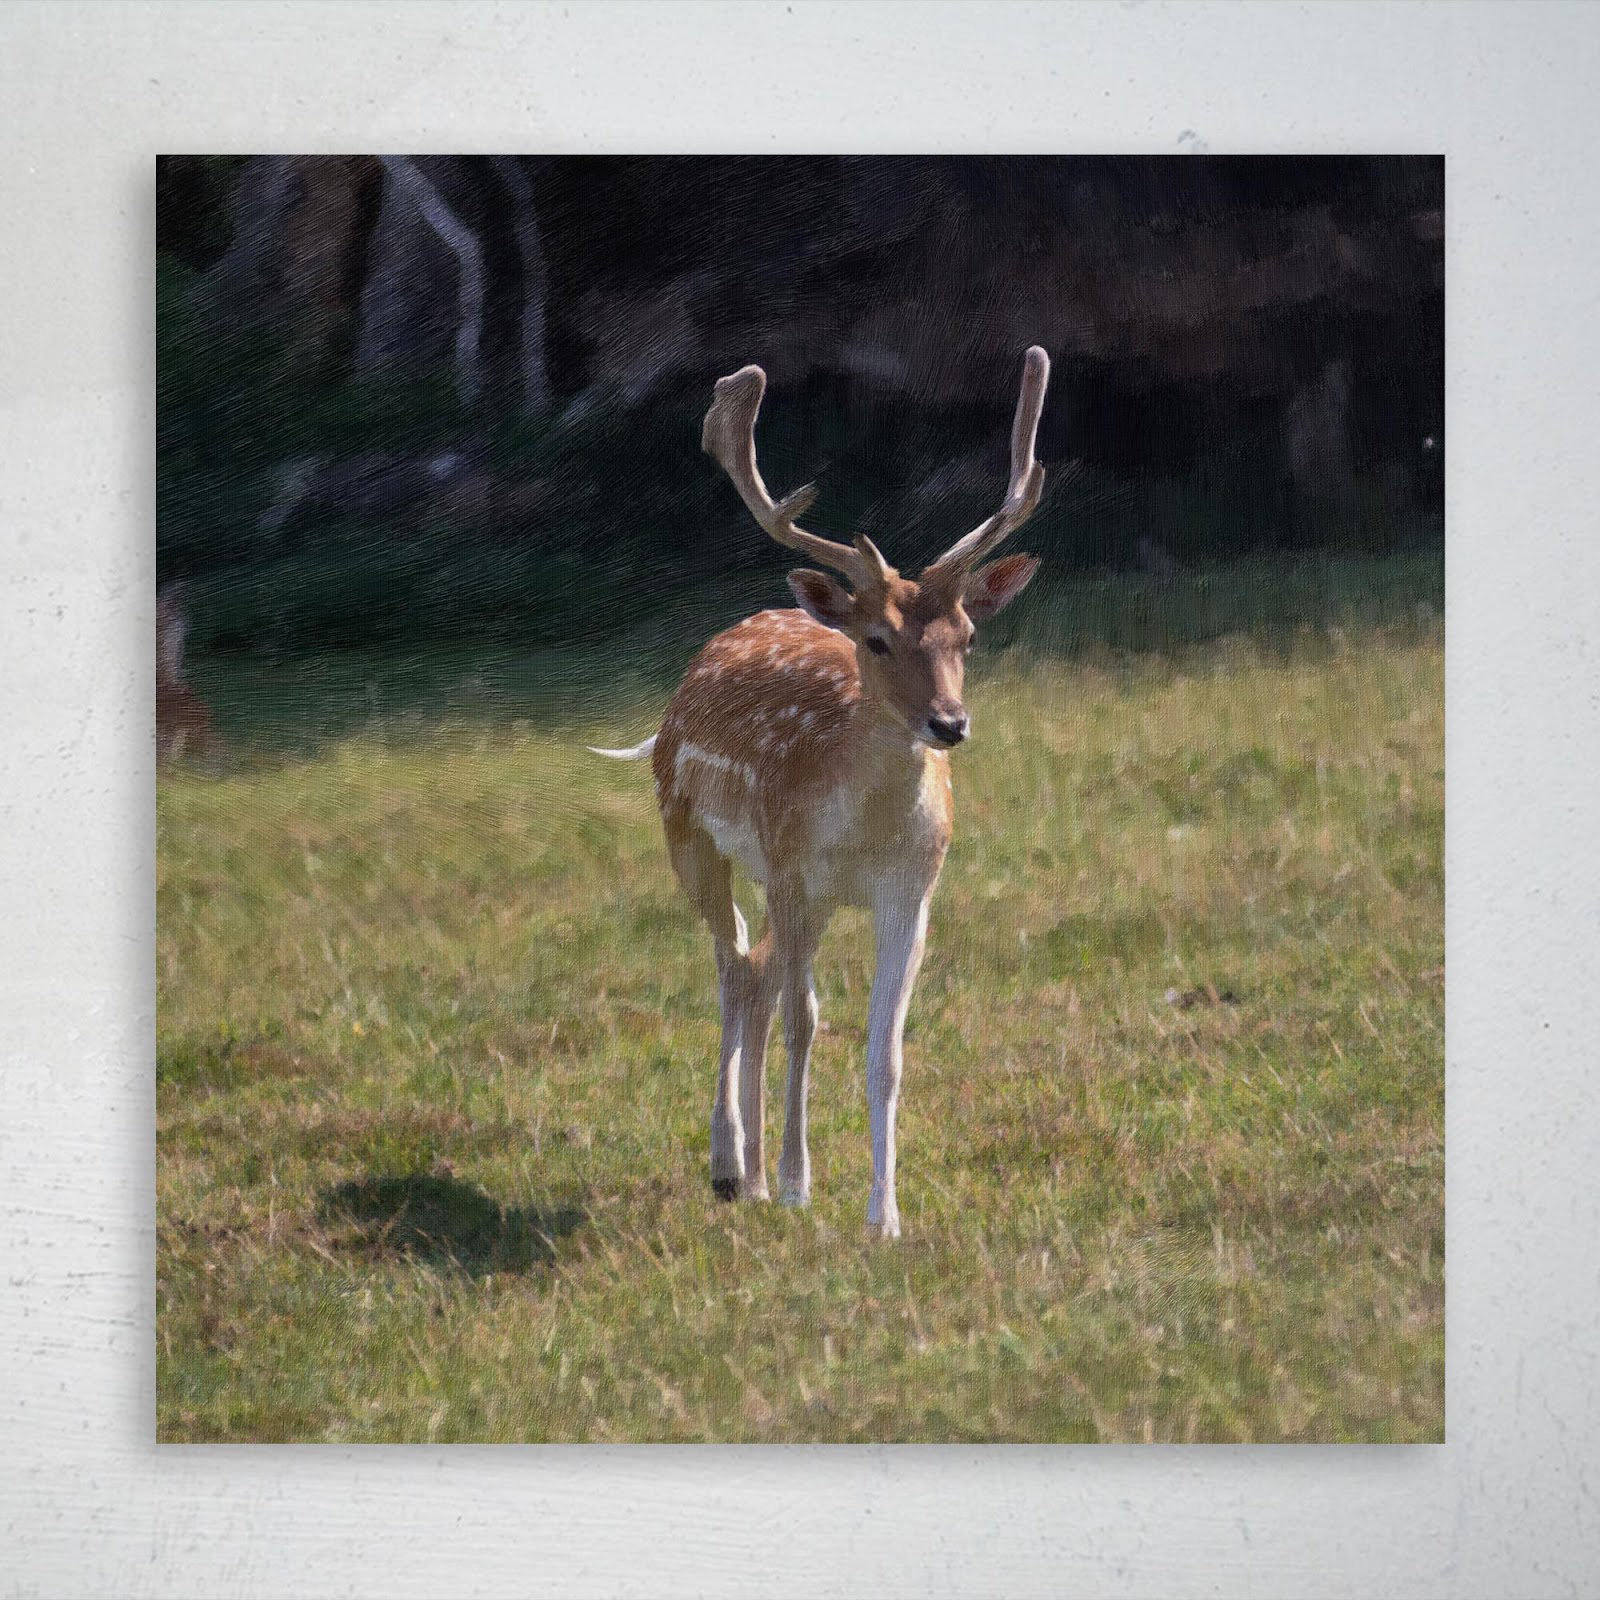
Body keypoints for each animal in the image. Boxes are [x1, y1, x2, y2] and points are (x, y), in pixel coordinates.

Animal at [591, 347, 1052, 1238]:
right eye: (876, 640)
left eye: (967, 636)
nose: (949, 723)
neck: (865, 831)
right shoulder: (794, 868)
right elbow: (808, 1021)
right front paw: (800, 1183)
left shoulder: (912, 887)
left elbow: (886, 1046)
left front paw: (885, 1216)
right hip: (692, 835)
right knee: (736, 966)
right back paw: (733, 1167)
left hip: (790, 885)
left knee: (758, 972)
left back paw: (749, 1173)